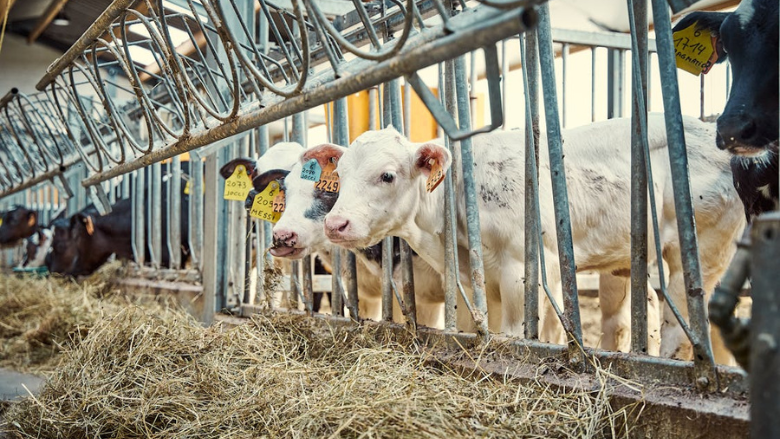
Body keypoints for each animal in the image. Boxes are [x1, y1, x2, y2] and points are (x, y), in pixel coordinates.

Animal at [320, 115, 746, 364]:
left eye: (387, 175)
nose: (335, 223)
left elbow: (522, 332)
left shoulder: (527, 268)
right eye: (339, 174)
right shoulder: (474, 281)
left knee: (686, 326)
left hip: (705, 250)